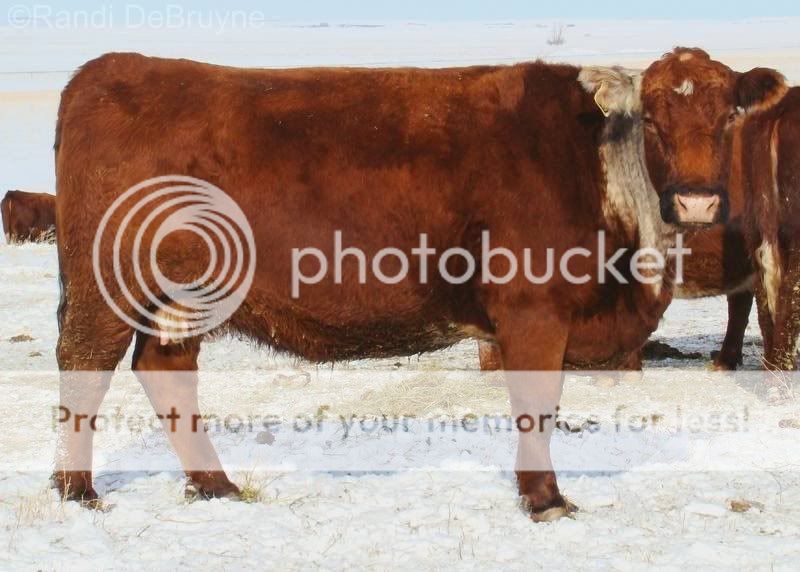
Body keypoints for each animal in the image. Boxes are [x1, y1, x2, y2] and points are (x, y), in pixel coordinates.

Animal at [54, 51, 758, 521]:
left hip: (181, 298)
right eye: (656, 120)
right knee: (85, 369)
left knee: (166, 370)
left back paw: (215, 485)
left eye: (729, 117)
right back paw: (75, 489)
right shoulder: (533, 310)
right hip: (106, 287)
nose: (697, 202)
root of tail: (112, 68)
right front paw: (545, 499)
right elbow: (537, 406)